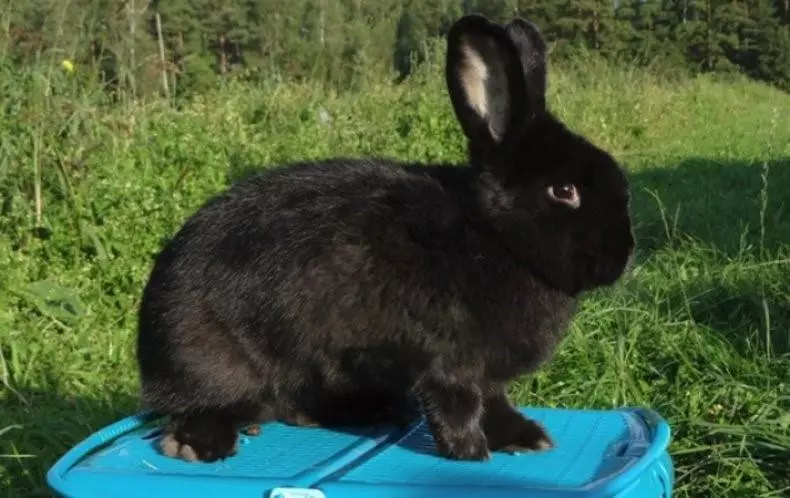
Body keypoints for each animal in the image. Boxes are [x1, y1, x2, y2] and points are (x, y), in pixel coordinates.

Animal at [138, 13, 636, 464]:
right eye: (564, 191)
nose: (623, 257)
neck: (494, 236)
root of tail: (149, 344)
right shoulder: (446, 363)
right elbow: (459, 407)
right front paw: (471, 456)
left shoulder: (487, 373)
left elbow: (496, 404)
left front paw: (525, 440)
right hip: (212, 362)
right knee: (203, 406)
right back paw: (197, 445)